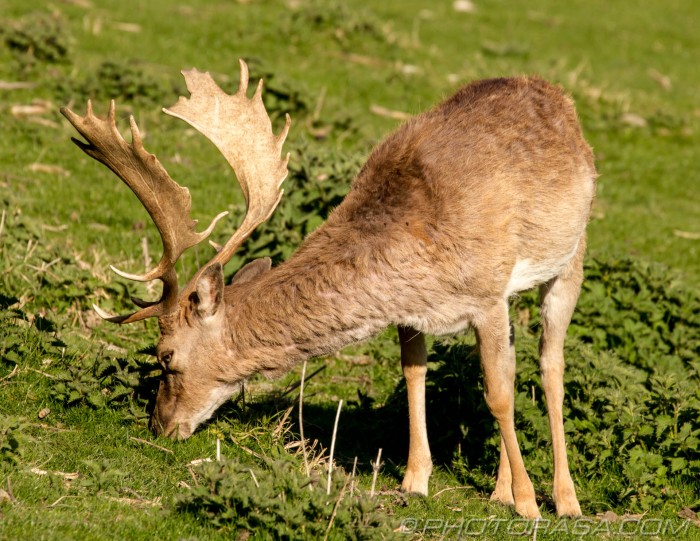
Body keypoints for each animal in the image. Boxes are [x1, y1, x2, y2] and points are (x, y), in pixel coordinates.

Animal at [61, 59, 596, 519]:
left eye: (165, 355)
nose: (160, 424)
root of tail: (561, 100)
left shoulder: (485, 293)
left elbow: (499, 394)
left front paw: (527, 505)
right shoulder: (417, 313)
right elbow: (415, 376)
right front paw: (415, 481)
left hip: (573, 254)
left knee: (550, 365)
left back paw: (564, 500)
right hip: (517, 290)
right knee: (516, 356)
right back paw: (501, 489)